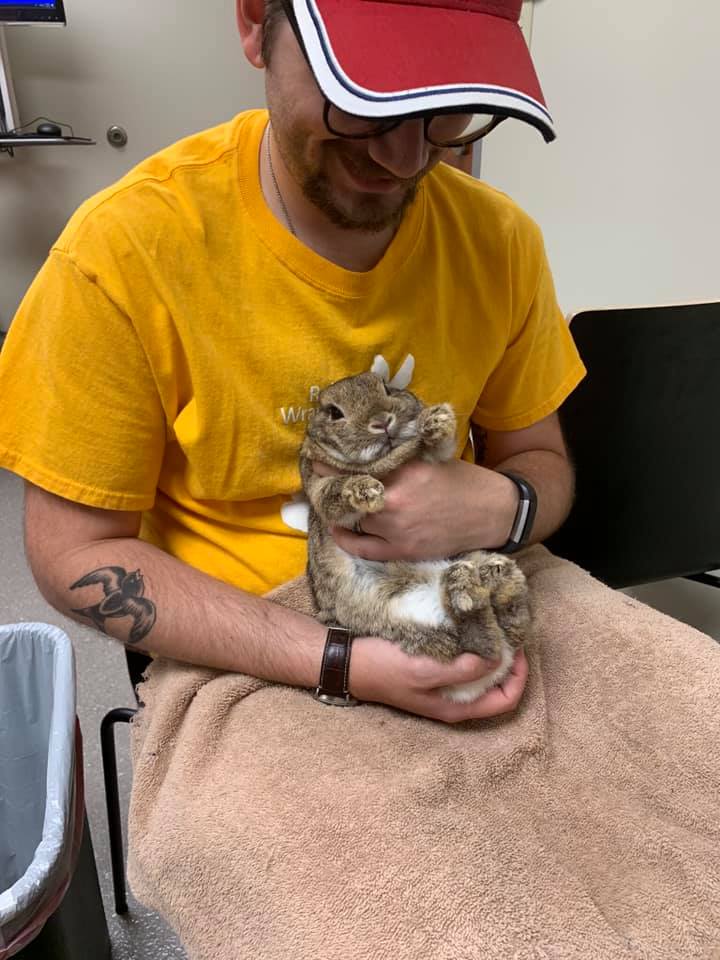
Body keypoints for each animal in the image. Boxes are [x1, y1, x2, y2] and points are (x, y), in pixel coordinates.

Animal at [299, 371, 531, 703]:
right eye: (334, 413)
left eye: (386, 387)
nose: (382, 421)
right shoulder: (321, 489)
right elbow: (335, 493)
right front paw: (367, 490)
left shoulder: (433, 459)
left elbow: (439, 449)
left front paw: (437, 421)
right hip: (409, 622)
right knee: (483, 644)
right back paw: (470, 589)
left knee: (503, 627)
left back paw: (492, 576)